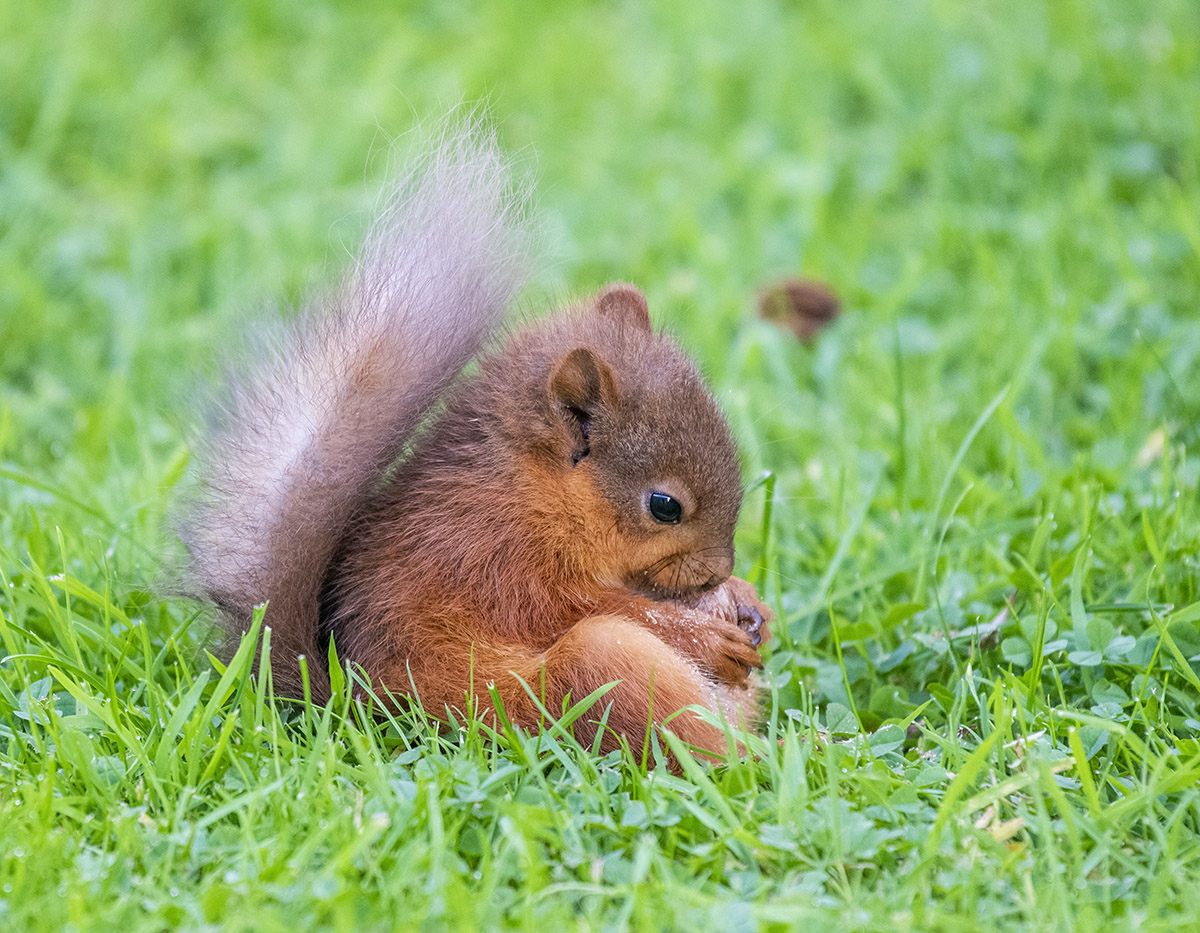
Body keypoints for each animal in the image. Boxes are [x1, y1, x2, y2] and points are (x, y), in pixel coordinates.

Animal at [179, 127, 772, 760]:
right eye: (664, 507)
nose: (717, 572)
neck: (534, 492)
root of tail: (356, 706)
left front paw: (746, 598)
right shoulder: (491, 557)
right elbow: (576, 606)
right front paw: (703, 632)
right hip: (599, 671)